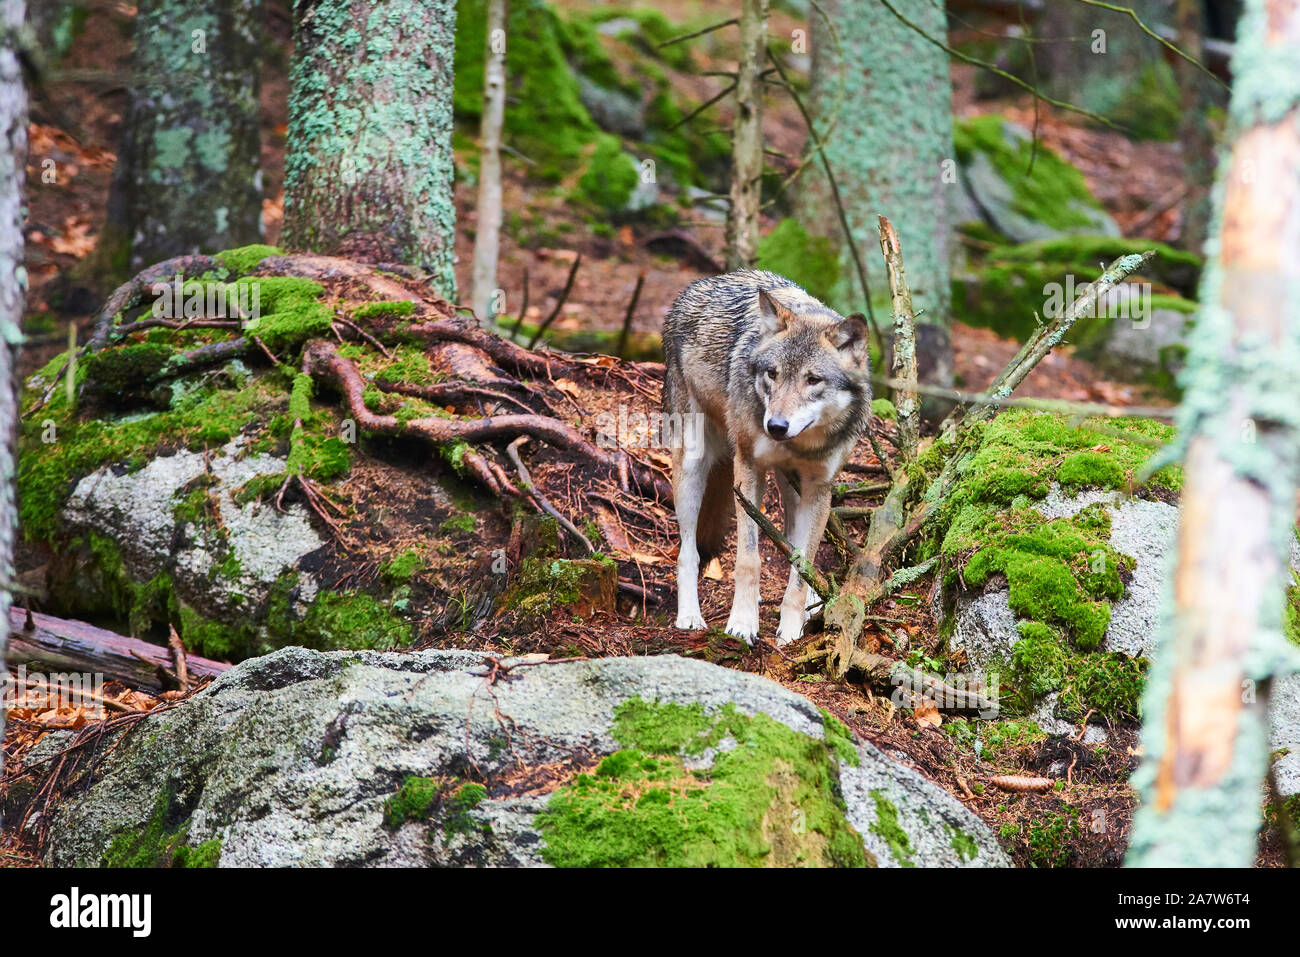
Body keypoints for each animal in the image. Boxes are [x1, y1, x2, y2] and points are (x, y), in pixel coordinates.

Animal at [662, 269, 872, 645]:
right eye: (772, 373)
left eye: (813, 380)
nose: (775, 426)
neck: (800, 445)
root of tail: (698, 285)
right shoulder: (747, 468)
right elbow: (748, 559)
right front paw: (742, 624)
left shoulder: (819, 487)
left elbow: (802, 564)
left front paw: (791, 629)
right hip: (692, 466)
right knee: (687, 552)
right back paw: (689, 616)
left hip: (791, 486)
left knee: (790, 540)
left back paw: (812, 601)